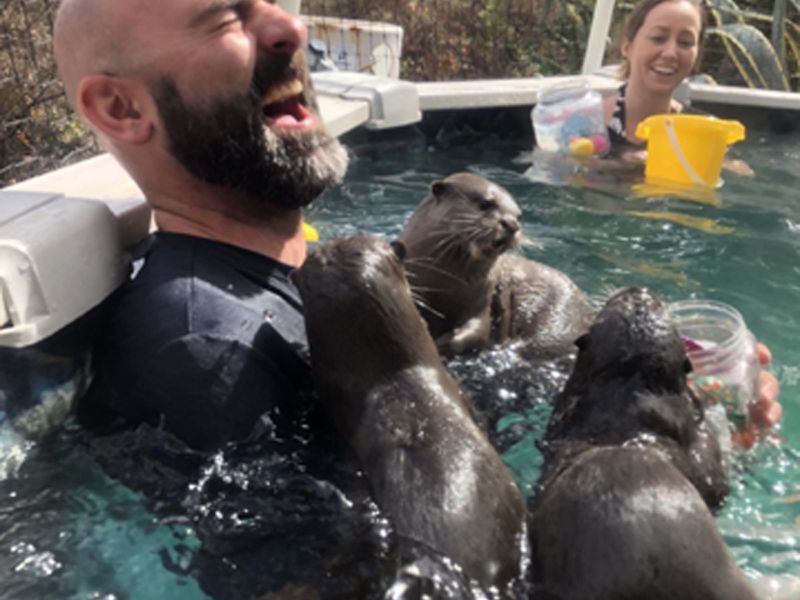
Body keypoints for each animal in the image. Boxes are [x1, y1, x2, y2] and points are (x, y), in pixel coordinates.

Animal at [397, 172, 594, 359]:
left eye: (519, 216)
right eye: (485, 204)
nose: (512, 224)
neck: (444, 284)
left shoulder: (483, 299)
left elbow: (478, 332)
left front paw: (441, 344)